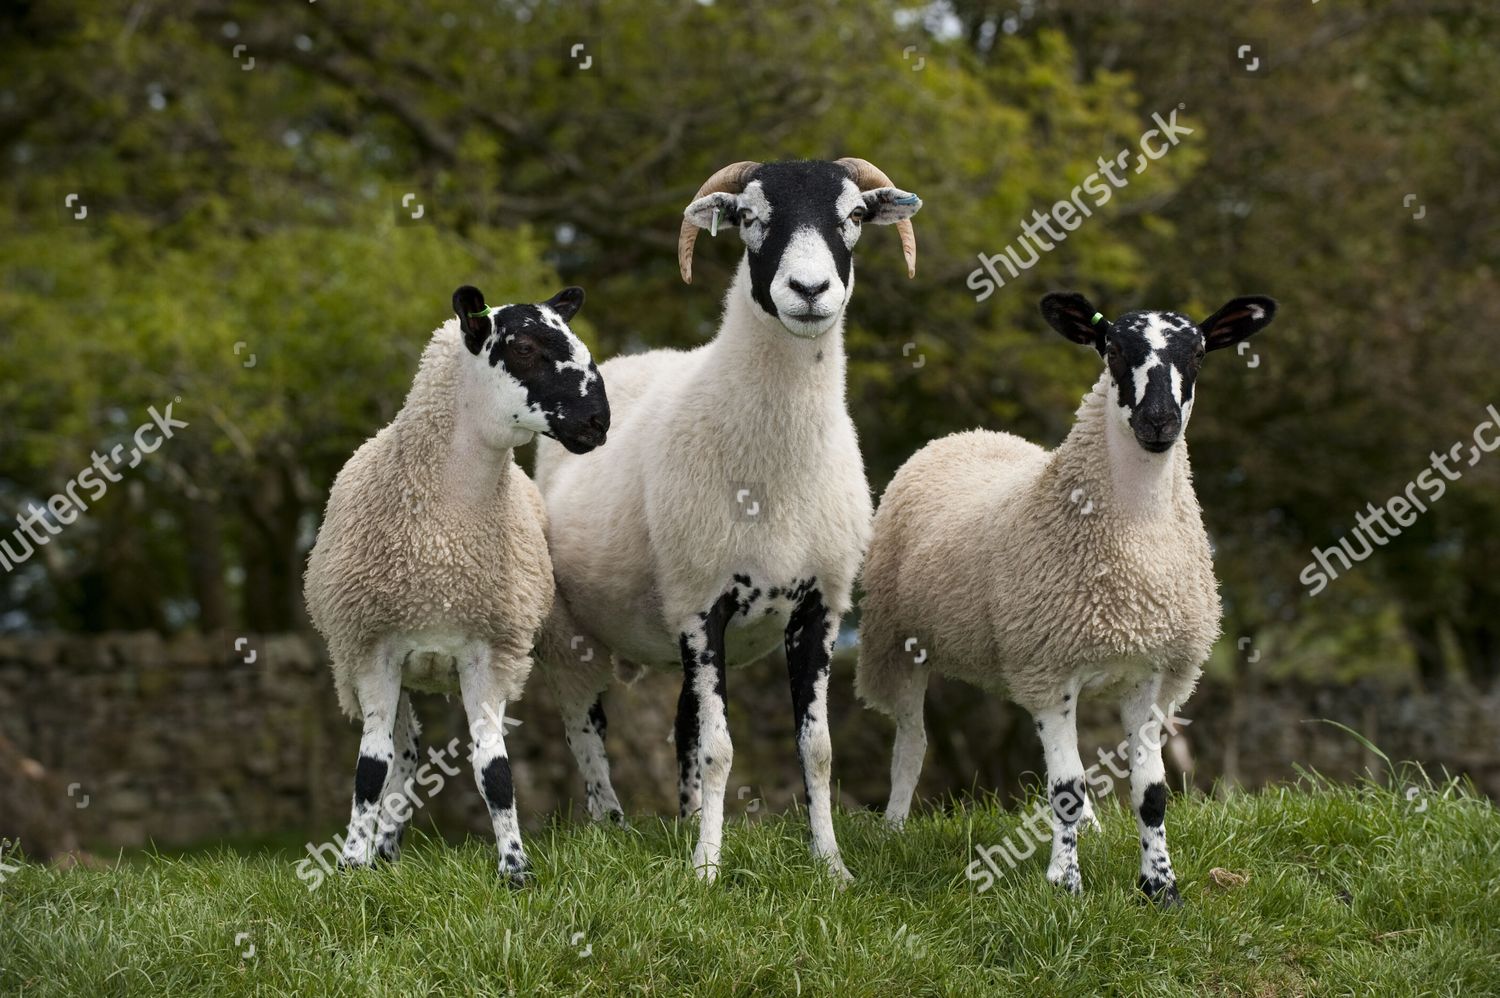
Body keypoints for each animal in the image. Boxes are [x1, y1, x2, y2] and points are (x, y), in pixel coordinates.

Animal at [303, 283, 609, 884]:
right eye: (524, 348)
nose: (597, 420)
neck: (446, 532)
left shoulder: (489, 652)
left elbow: (495, 769)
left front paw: (516, 870)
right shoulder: (373, 649)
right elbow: (371, 768)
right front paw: (350, 867)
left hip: (560, 638)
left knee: (585, 726)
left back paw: (615, 827)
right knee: (404, 753)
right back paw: (382, 852)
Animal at [531, 159, 922, 883]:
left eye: (855, 216)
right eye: (749, 217)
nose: (809, 289)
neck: (776, 473)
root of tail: (642, 357)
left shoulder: (820, 606)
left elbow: (817, 749)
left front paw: (832, 868)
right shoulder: (700, 603)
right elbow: (720, 750)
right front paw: (707, 871)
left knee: (680, 724)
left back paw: (684, 822)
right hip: (572, 628)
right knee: (584, 726)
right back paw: (611, 830)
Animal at [856, 291, 1277, 905]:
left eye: (1199, 353)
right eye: (1112, 349)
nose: (1159, 422)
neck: (1135, 538)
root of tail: (969, 434)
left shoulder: (1148, 676)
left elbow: (1151, 793)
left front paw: (1161, 887)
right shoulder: (1051, 670)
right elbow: (1067, 790)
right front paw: (1065, 885)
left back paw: (1095, 830)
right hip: (898, 642)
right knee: (912, 740)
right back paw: (893, 827)